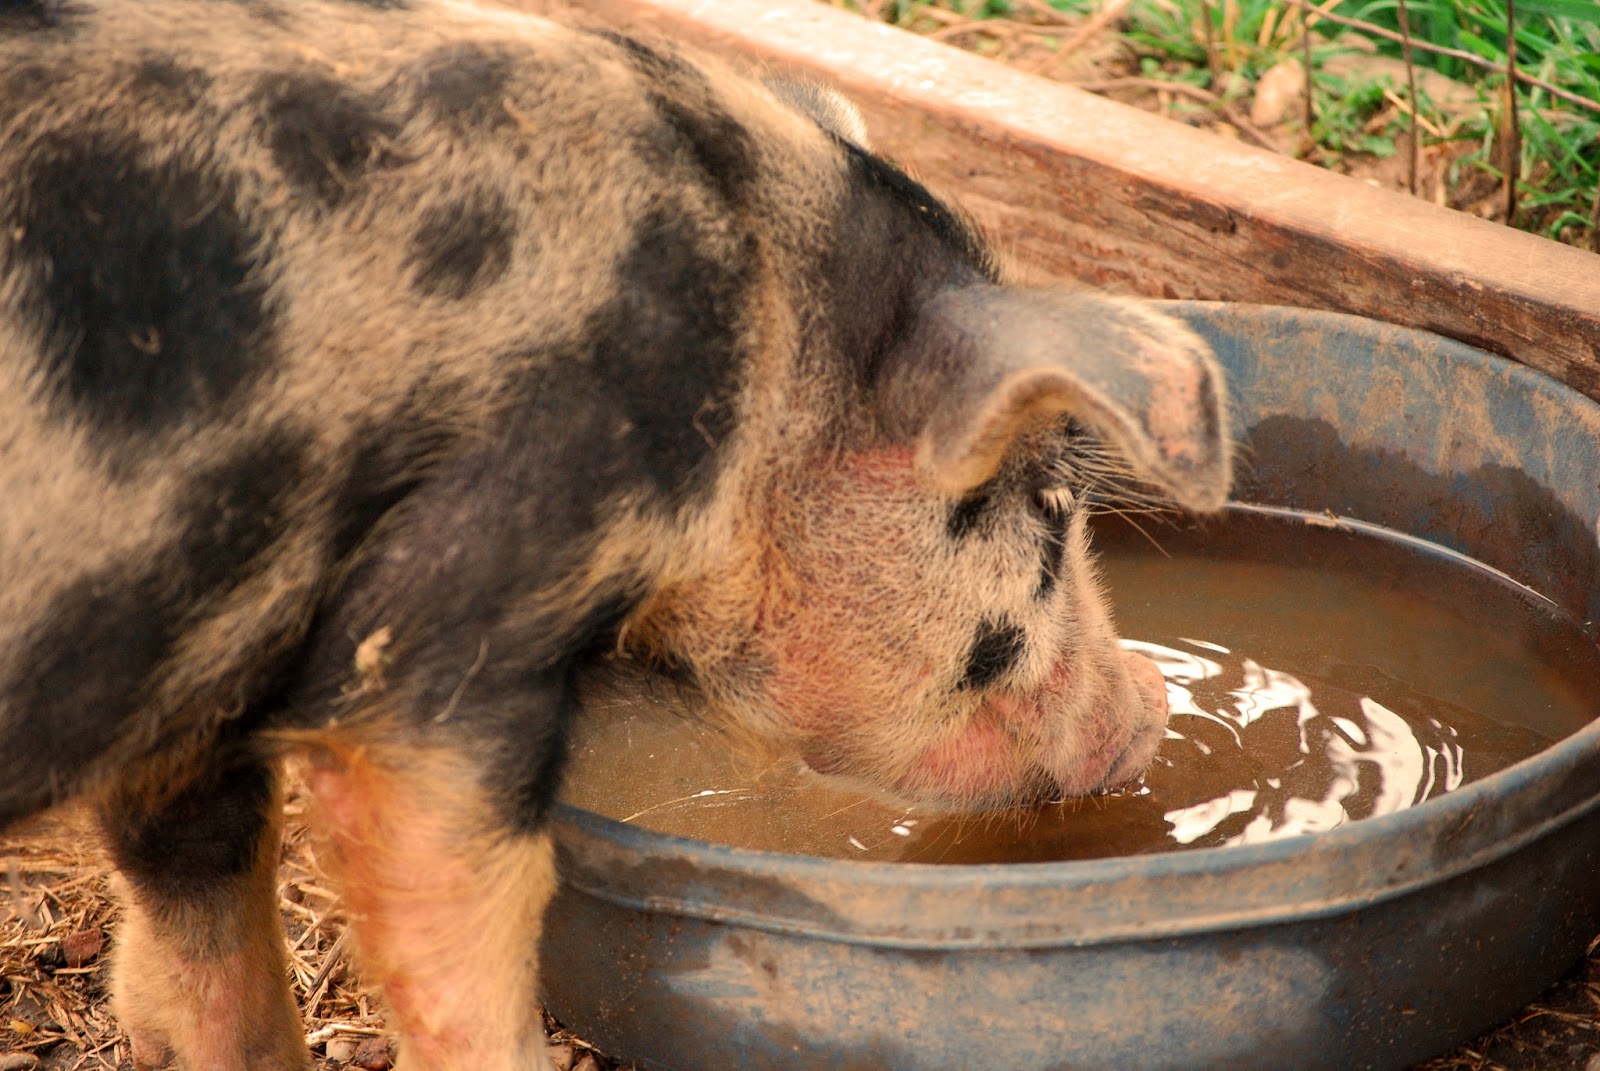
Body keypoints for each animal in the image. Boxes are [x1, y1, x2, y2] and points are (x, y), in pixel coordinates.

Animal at [0, 1, 1231, 1069]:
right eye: (1051, 508)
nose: (1153, 702)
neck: (755, 361)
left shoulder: (197, 639)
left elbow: (201, 897)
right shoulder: (464, 599)